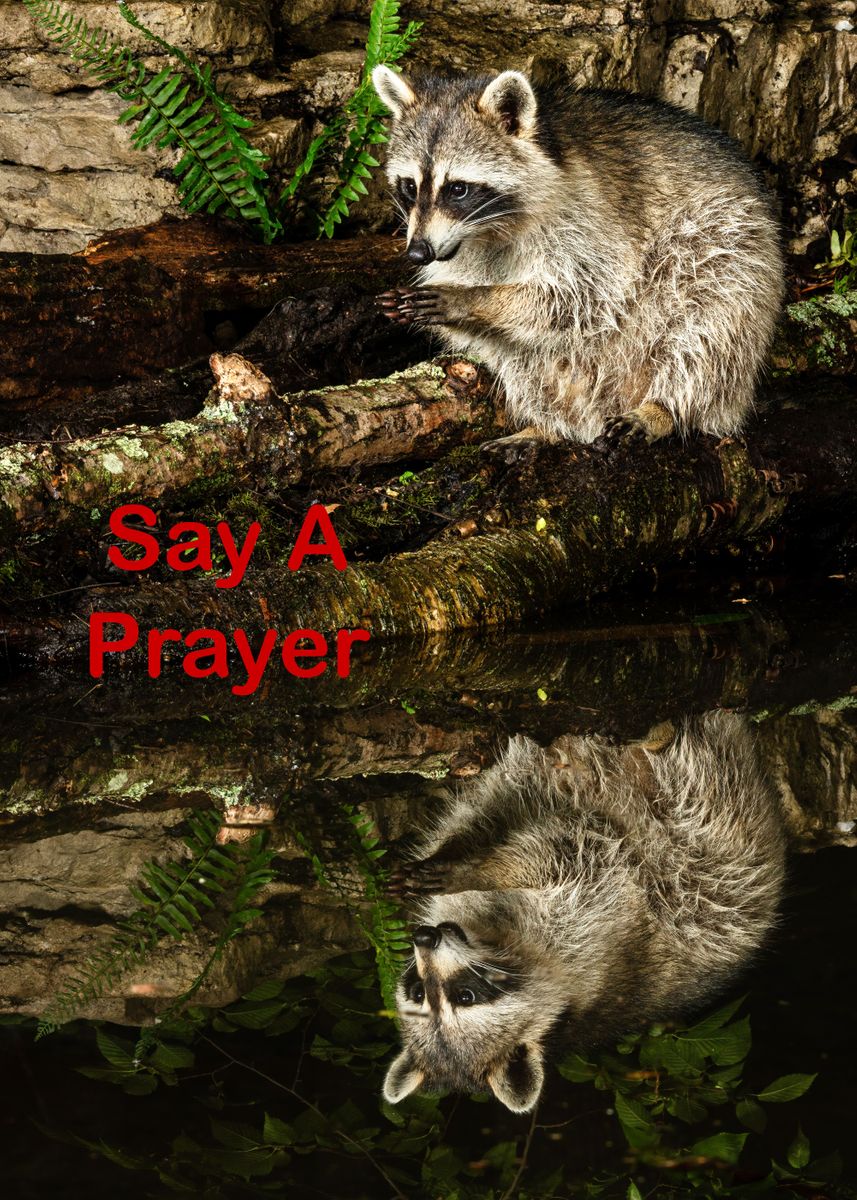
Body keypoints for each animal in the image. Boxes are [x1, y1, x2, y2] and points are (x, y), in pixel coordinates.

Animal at [372, 67, 785, 448]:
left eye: (457, 189)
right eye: (409, 186)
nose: (417, 252)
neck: (488, 231)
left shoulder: (589, 222)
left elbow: (580, 299)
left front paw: (472, 299)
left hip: (731, 243)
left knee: (708, 324)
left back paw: (664, 408)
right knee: (522, 356)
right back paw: (549, 427)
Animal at [383, 713, 785, 1113]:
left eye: (463, 996)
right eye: (418, 991)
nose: (424, 937)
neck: (488, 934)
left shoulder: (590, 919)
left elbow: (537, 841)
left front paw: (475, 867)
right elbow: (527, 833)